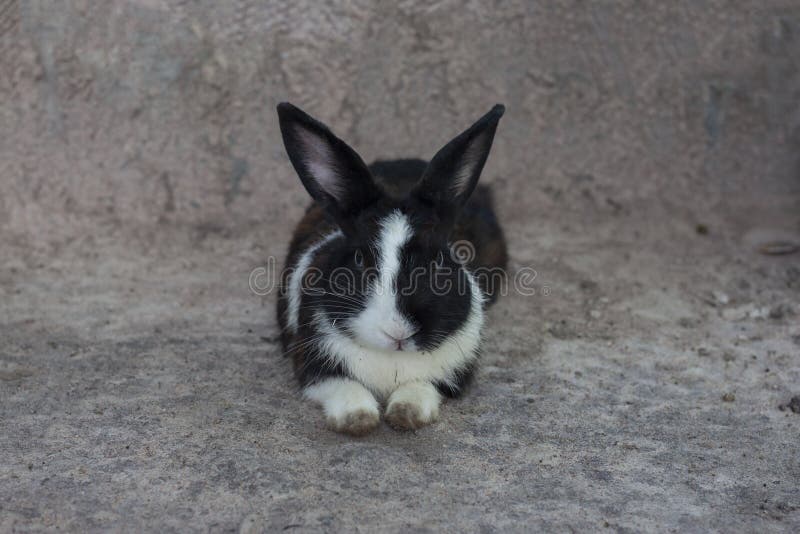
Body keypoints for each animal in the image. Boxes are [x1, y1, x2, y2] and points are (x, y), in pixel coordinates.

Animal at [276, 102, 507, 435]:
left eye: (438, 262)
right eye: (360, 260)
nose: (398, 331)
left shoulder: (451, 373)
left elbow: (422, 385)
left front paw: (406, 414)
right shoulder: (311, 363)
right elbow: (342, 386)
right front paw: (357, 419)